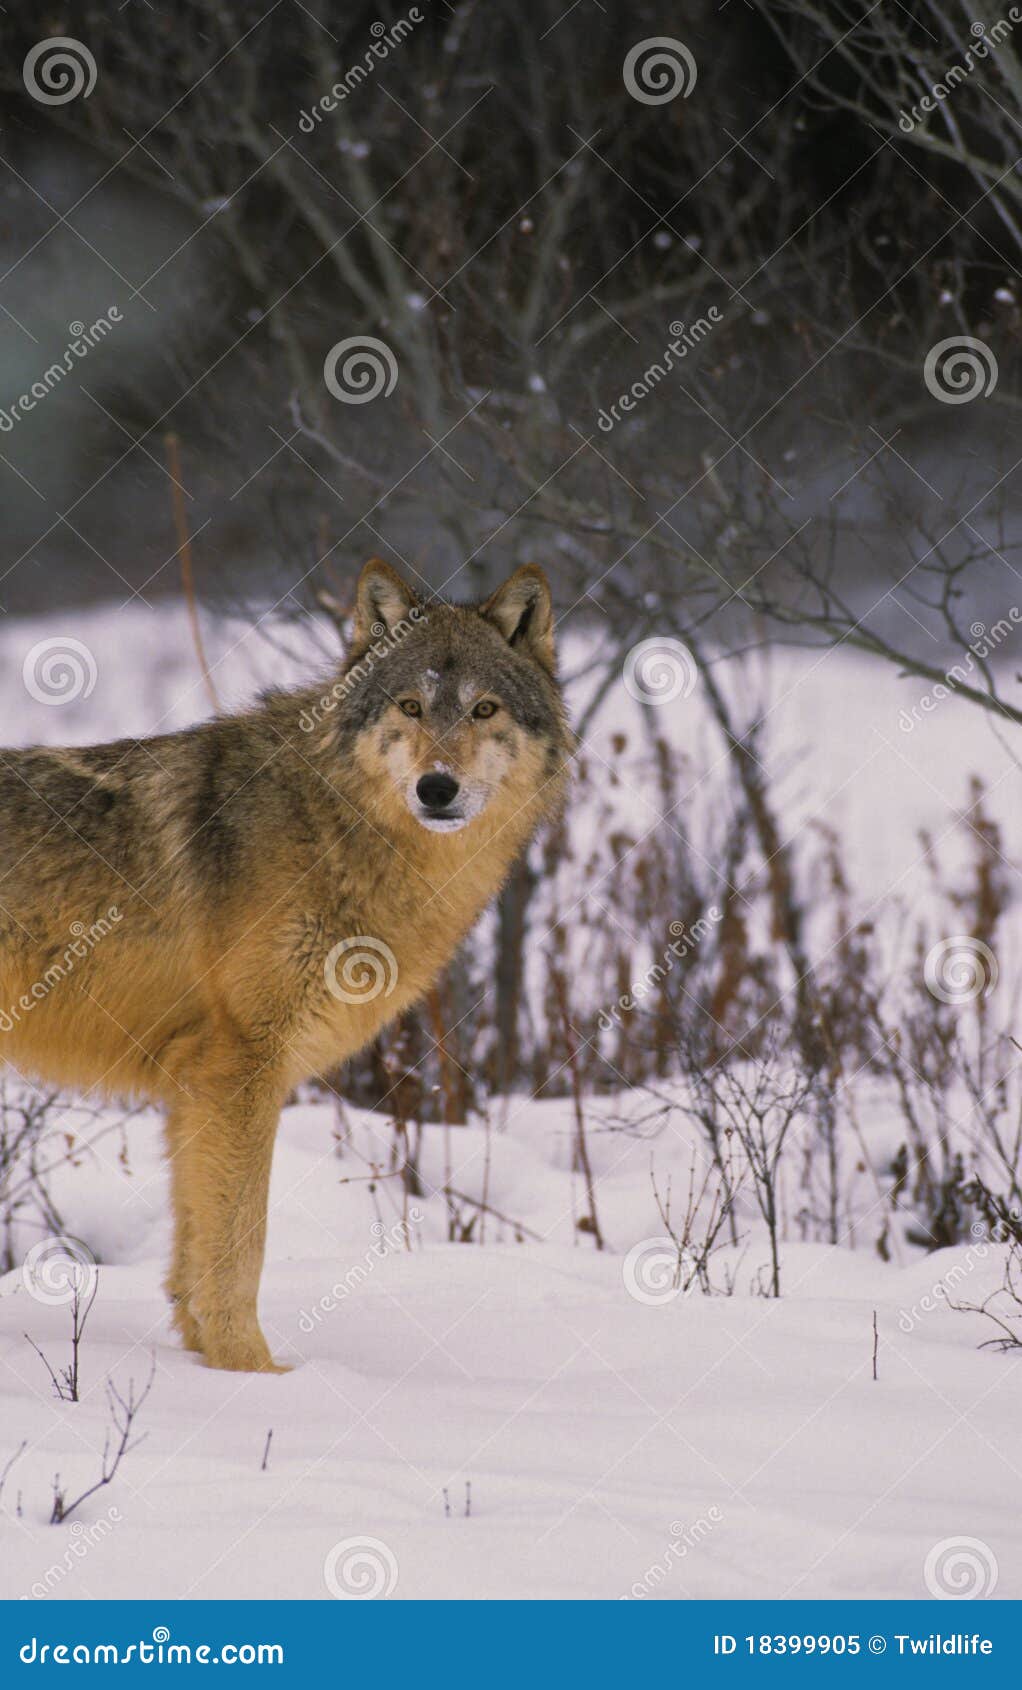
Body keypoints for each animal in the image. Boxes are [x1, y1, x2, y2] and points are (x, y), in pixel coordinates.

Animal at [0, 560, 571, 1371]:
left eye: (483, 709)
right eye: (410, 705)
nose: (436, 788)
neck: (336, 831)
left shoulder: (200, 1082)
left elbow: (196, 1255)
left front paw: (210, 1363)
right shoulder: (238, 1066)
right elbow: (241, 1244)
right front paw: (256, 1374)